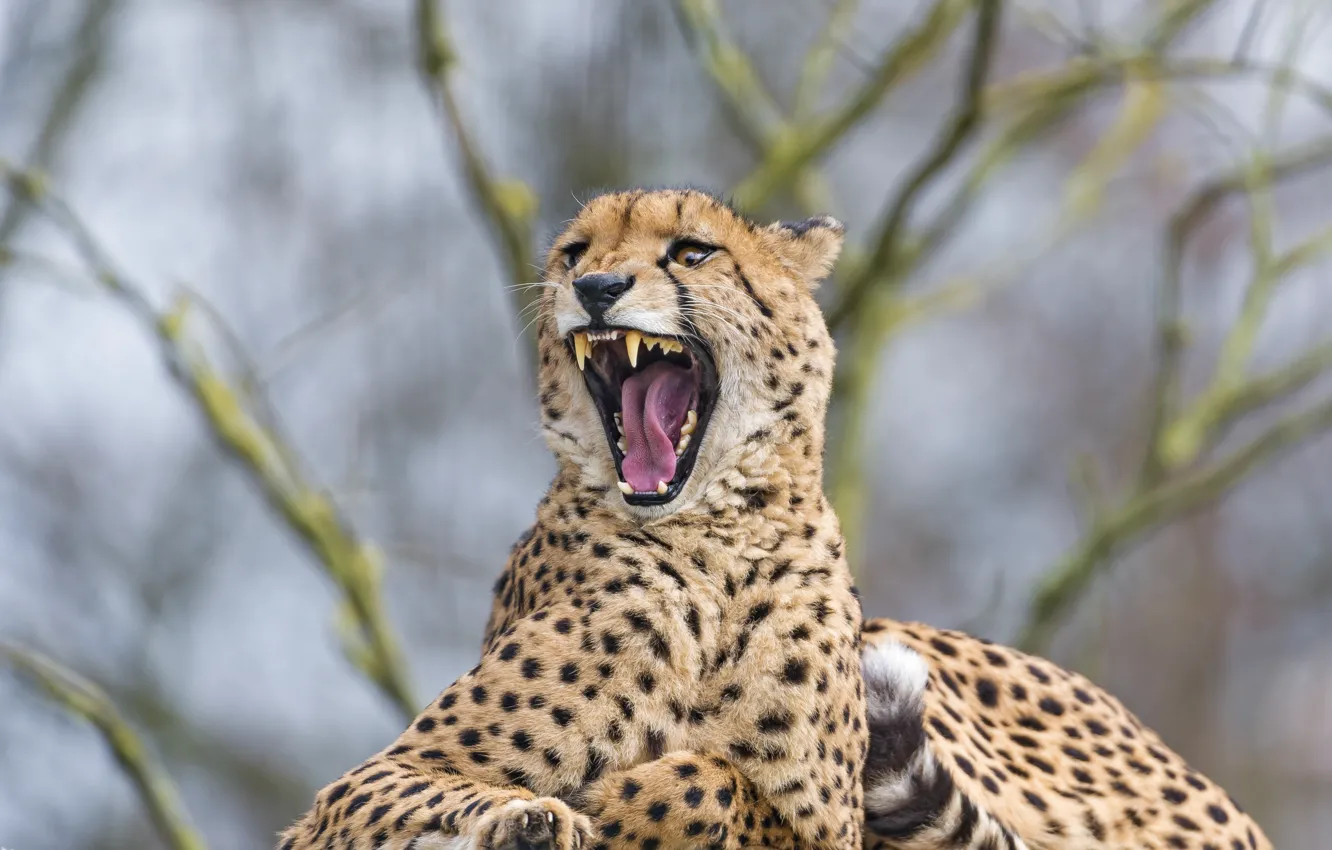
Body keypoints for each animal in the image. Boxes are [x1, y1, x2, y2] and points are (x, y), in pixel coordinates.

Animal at [278, 187, 1273, 850]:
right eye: (573, 252)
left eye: (691, 252)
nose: (596, 287)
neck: (712, 539)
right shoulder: (356, 792)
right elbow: (446, 794)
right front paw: (533, 819)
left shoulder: (832, 827)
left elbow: (719, 784)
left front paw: (631, 799)